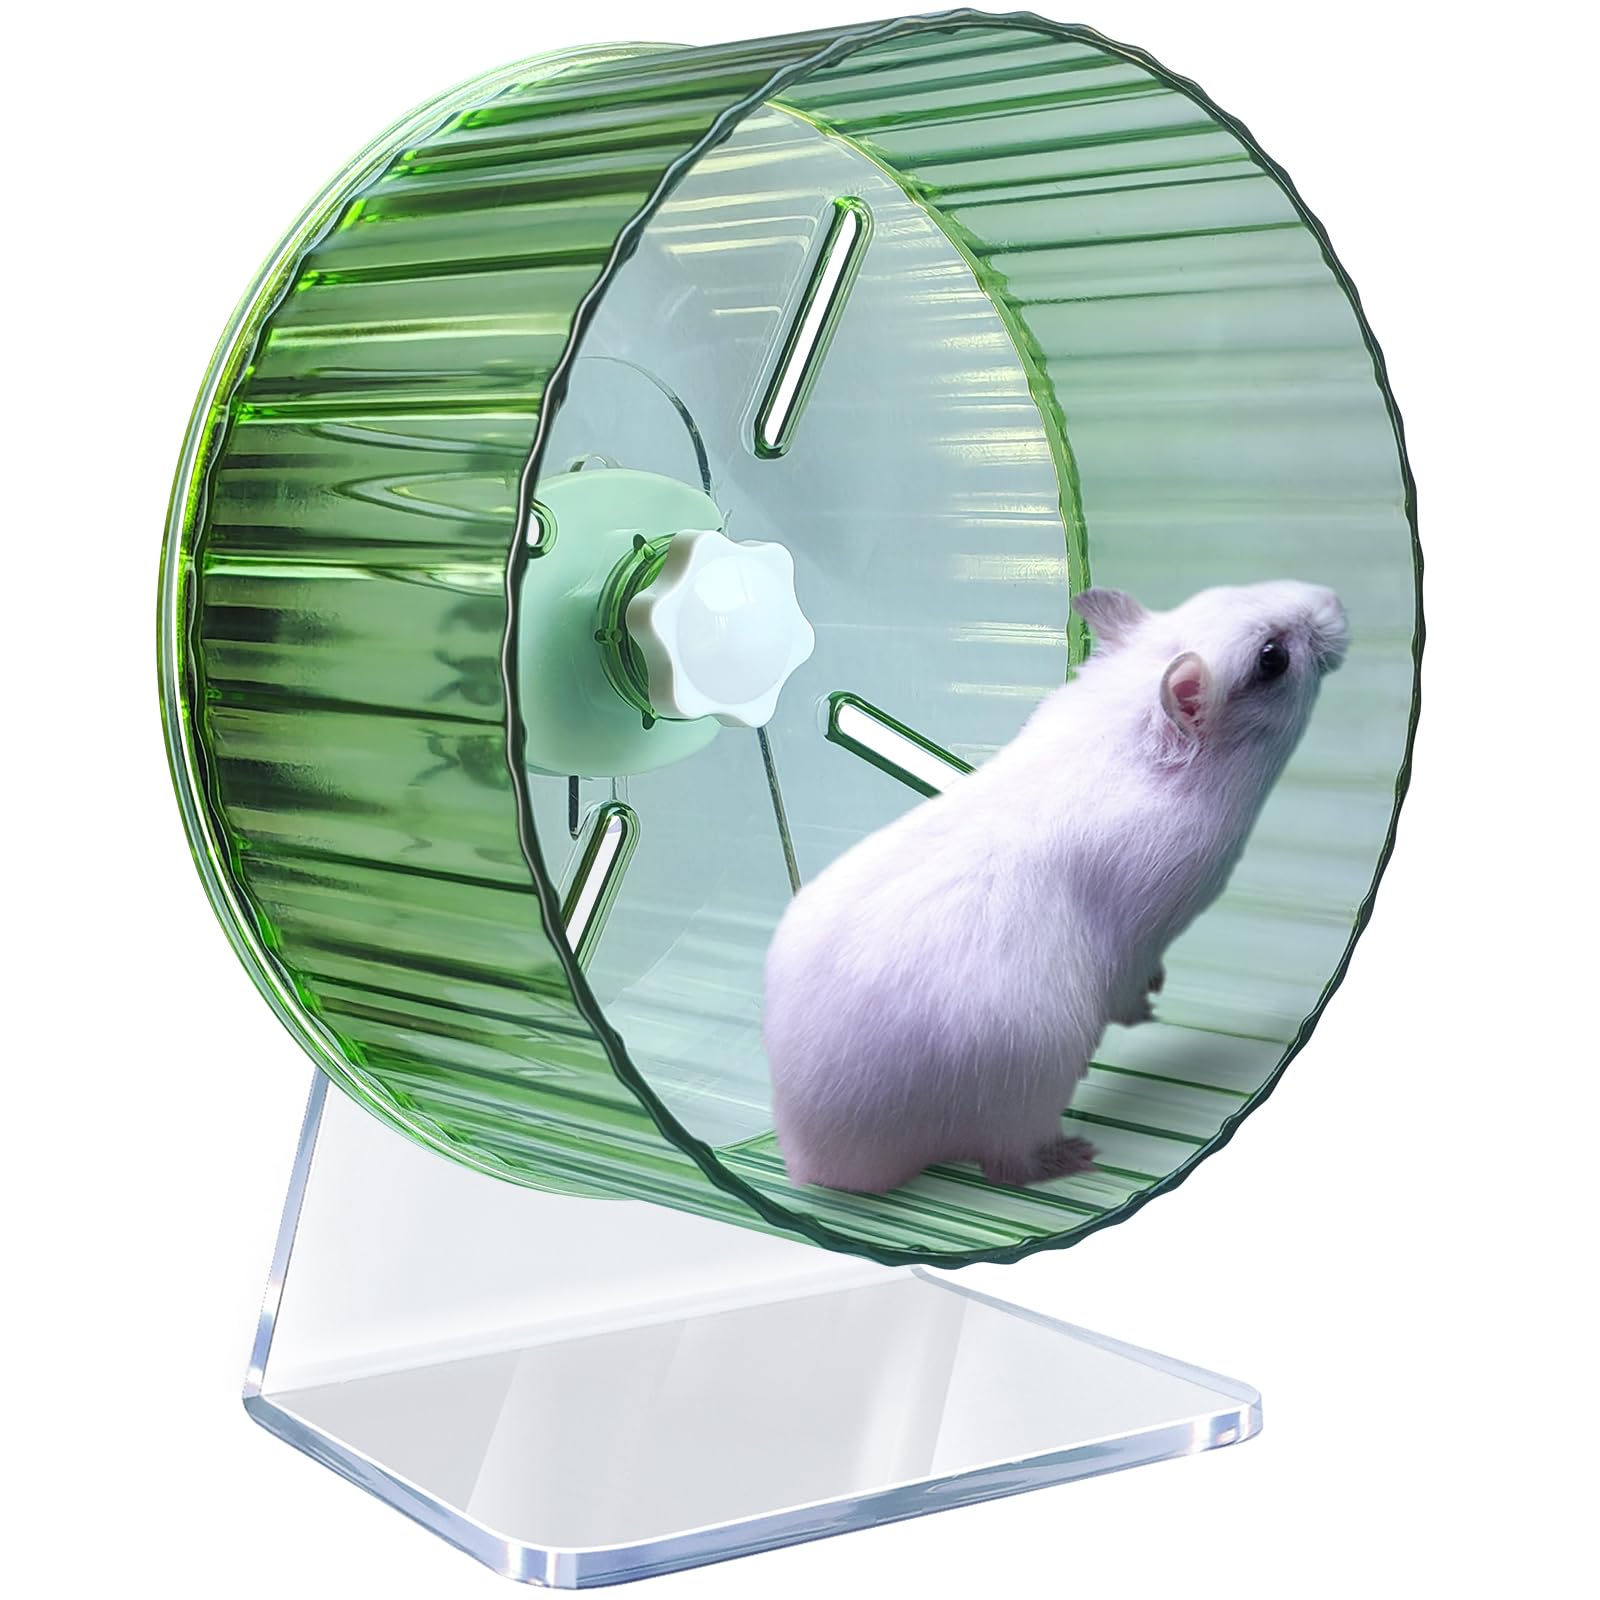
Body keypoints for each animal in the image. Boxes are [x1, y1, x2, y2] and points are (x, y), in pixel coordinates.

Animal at [763, 580, 1349, 1194]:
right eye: (1271, 658)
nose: (1335, 600)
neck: (1130, 726)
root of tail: (811, 1162)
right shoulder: (1144, 938)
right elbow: (1132, 992)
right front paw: (1152, 1007)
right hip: (1028, 1087)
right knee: (1005, 1167)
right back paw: (1077, 1155)